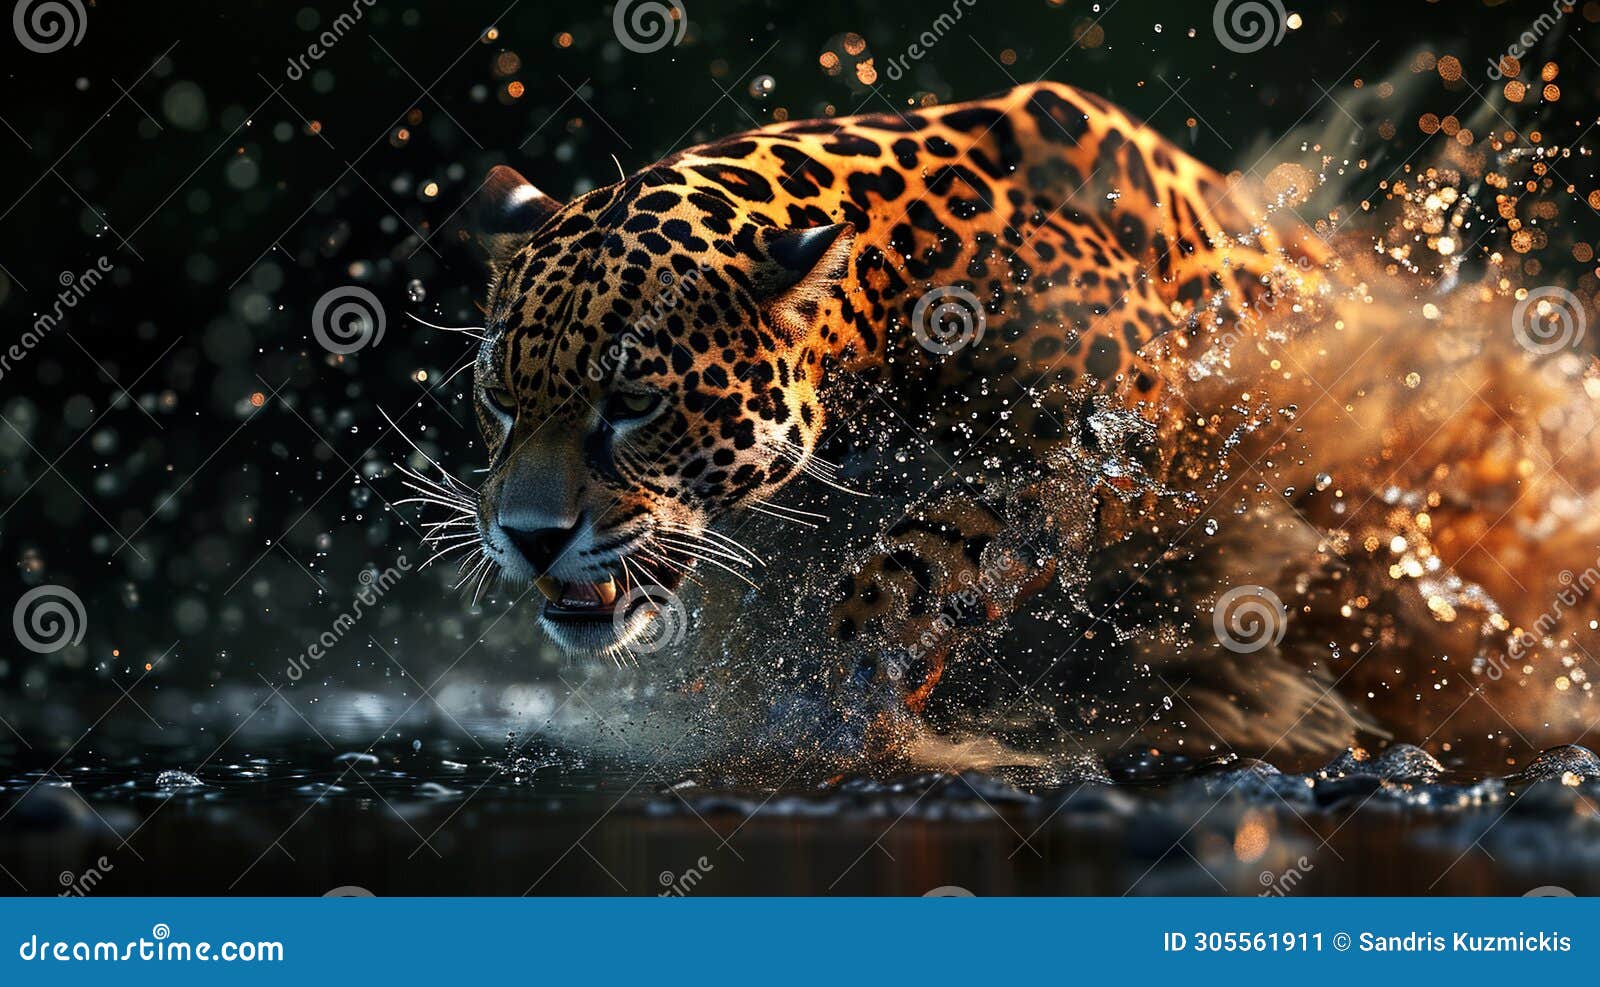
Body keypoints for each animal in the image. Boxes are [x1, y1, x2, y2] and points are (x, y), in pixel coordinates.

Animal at [450, 81, 1600, 774]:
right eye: (500, 398)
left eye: (633, 403)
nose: (528, 538)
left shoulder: (1115, 431)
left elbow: (922, 559)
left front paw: (843, 703)